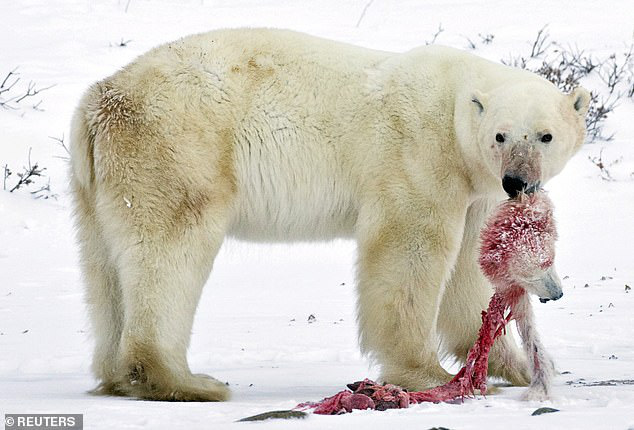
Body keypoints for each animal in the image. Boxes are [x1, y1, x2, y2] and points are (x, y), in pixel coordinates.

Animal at [69, 28, 588, 402]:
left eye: (545, 135)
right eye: (502, 134)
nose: (517, 182)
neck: (455, 106)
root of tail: (100, 98)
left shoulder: (474, 189)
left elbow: (468, 271)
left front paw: (516, 366)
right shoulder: (418, 155)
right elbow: (409, 250)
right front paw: (426, 374)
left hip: (98, 182)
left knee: (105, 267)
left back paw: (118, 375)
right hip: (177, 148)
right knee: (170, 252)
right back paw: (186, 382)